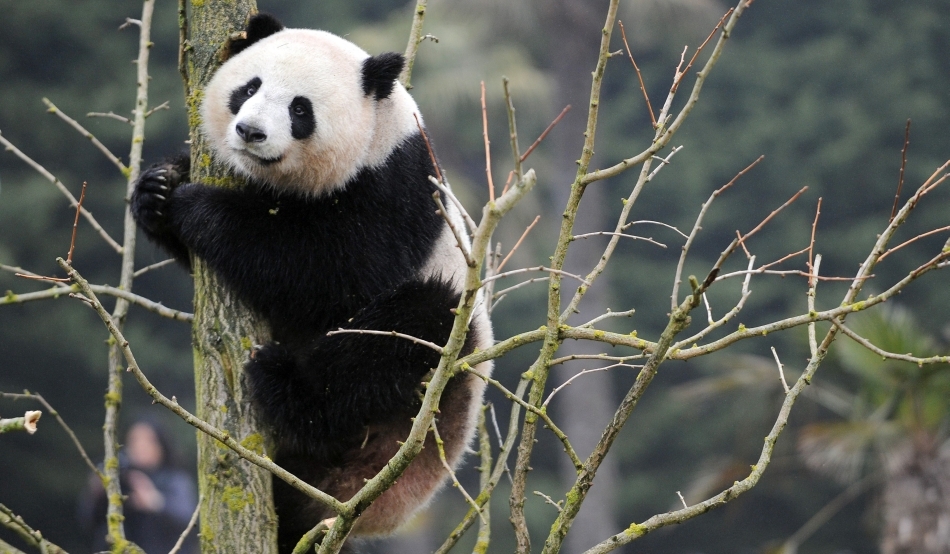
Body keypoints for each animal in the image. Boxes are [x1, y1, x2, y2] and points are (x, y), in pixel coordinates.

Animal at [131, 13, 492, 552]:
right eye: (249, 87)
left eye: (300, 109)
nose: (250, 131)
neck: (379, 131)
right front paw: (156, 191)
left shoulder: (396, 188)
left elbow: (332, 271)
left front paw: (198, 207)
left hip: (435, 391)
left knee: (399, 338)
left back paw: (287, 387)